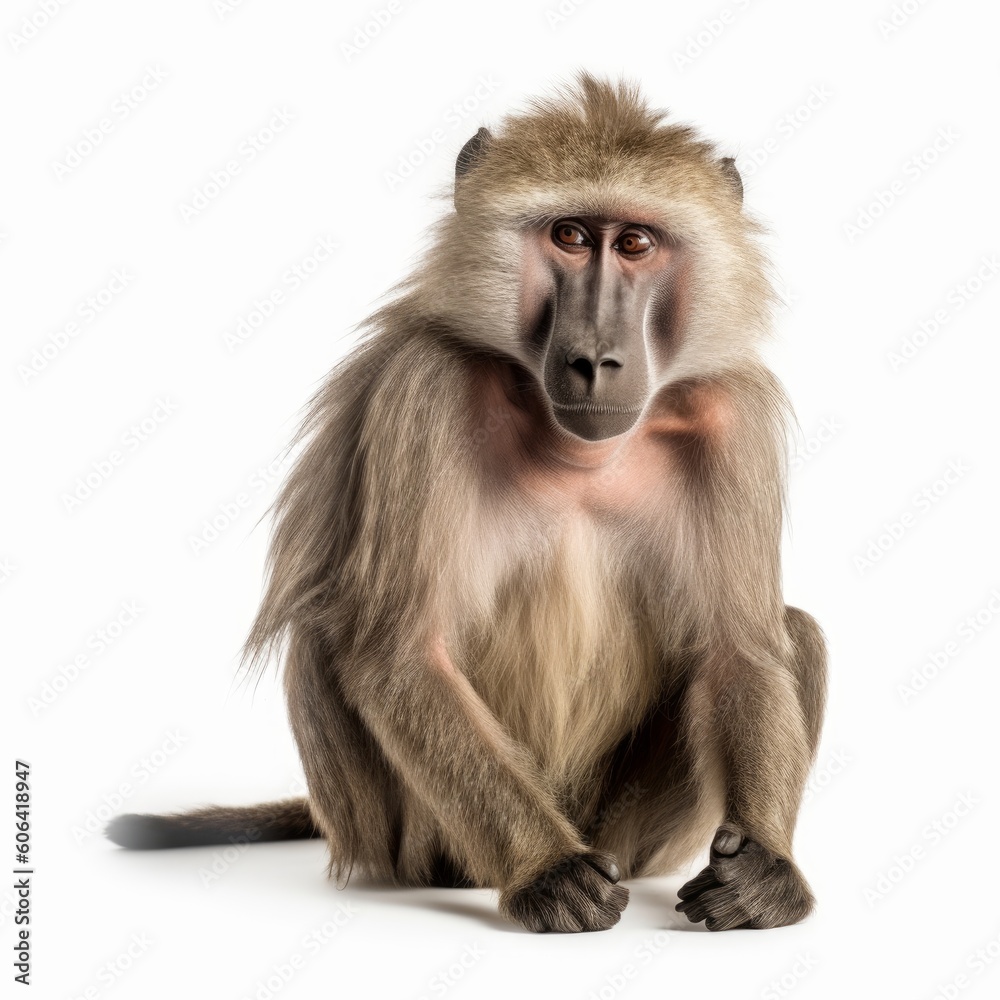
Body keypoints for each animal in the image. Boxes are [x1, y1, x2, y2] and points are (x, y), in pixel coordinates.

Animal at [107, 75, 827, 935]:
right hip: (408, 835)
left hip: (624, 833)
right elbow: (400, 651)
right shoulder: (424, 387)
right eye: (571, 236)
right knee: (328, 635)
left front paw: (766, 873)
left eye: (636, 245)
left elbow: (738, 652)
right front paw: (547, 874)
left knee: (796, 634)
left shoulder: (731, 417)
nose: (596, 360)